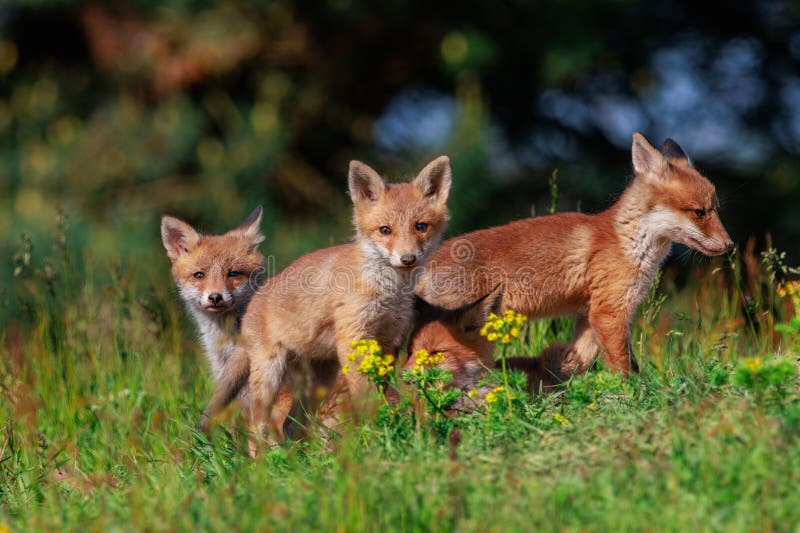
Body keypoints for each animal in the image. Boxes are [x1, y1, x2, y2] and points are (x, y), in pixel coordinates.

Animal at [200, 156, 453, 442]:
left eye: (421, 226)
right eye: (385, 230)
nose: (407, 258)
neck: (389, 291)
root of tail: (252, 304)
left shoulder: (389, 340)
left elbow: (382, 391)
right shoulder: (353, 337)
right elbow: (366, 397)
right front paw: (376, 434)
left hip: (317, 381)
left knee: (288, 424)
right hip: (270, 373)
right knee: (258, 424)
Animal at [417, 132, 734, 377]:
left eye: (717, 208)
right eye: (699, 212)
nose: (730, 245)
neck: (629, 243)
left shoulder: (588, 315)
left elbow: (577, 362)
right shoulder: (610, 312)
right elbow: (625, 370)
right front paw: (633, 400)